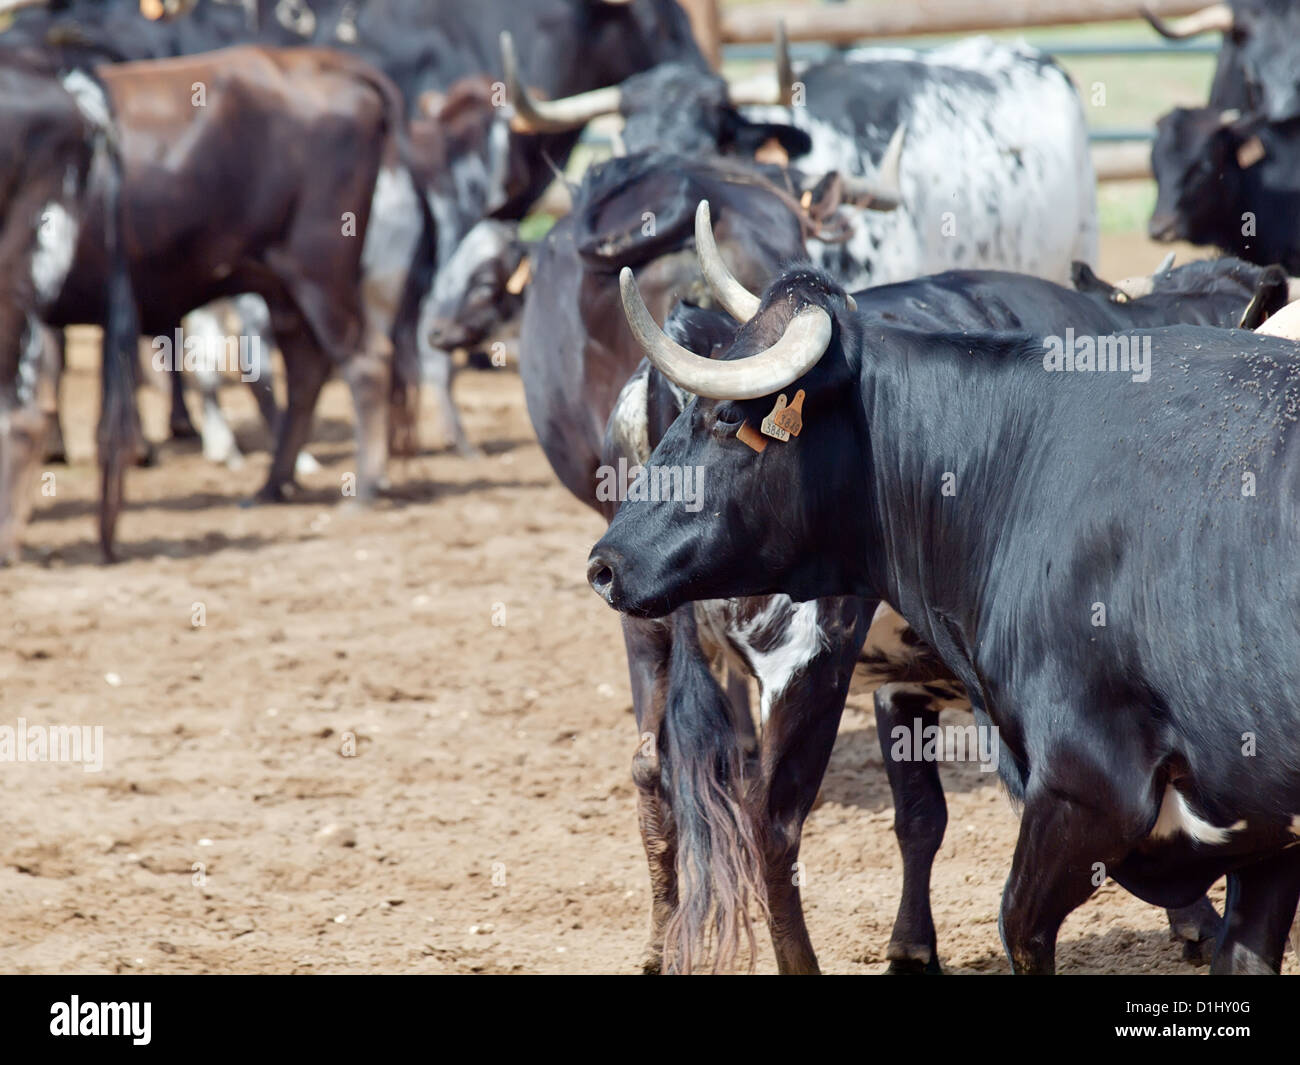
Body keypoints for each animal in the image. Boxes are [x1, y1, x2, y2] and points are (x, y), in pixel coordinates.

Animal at [592, 228, 1300, 974]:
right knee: (772, 824)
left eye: (726, 417)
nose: (605, 565)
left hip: (657, 651)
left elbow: (920, 817)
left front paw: (911, 945)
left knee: (655, 778)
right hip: (803, 664)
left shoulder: (904, 685)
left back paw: (659, 946)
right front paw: (1192, 921)